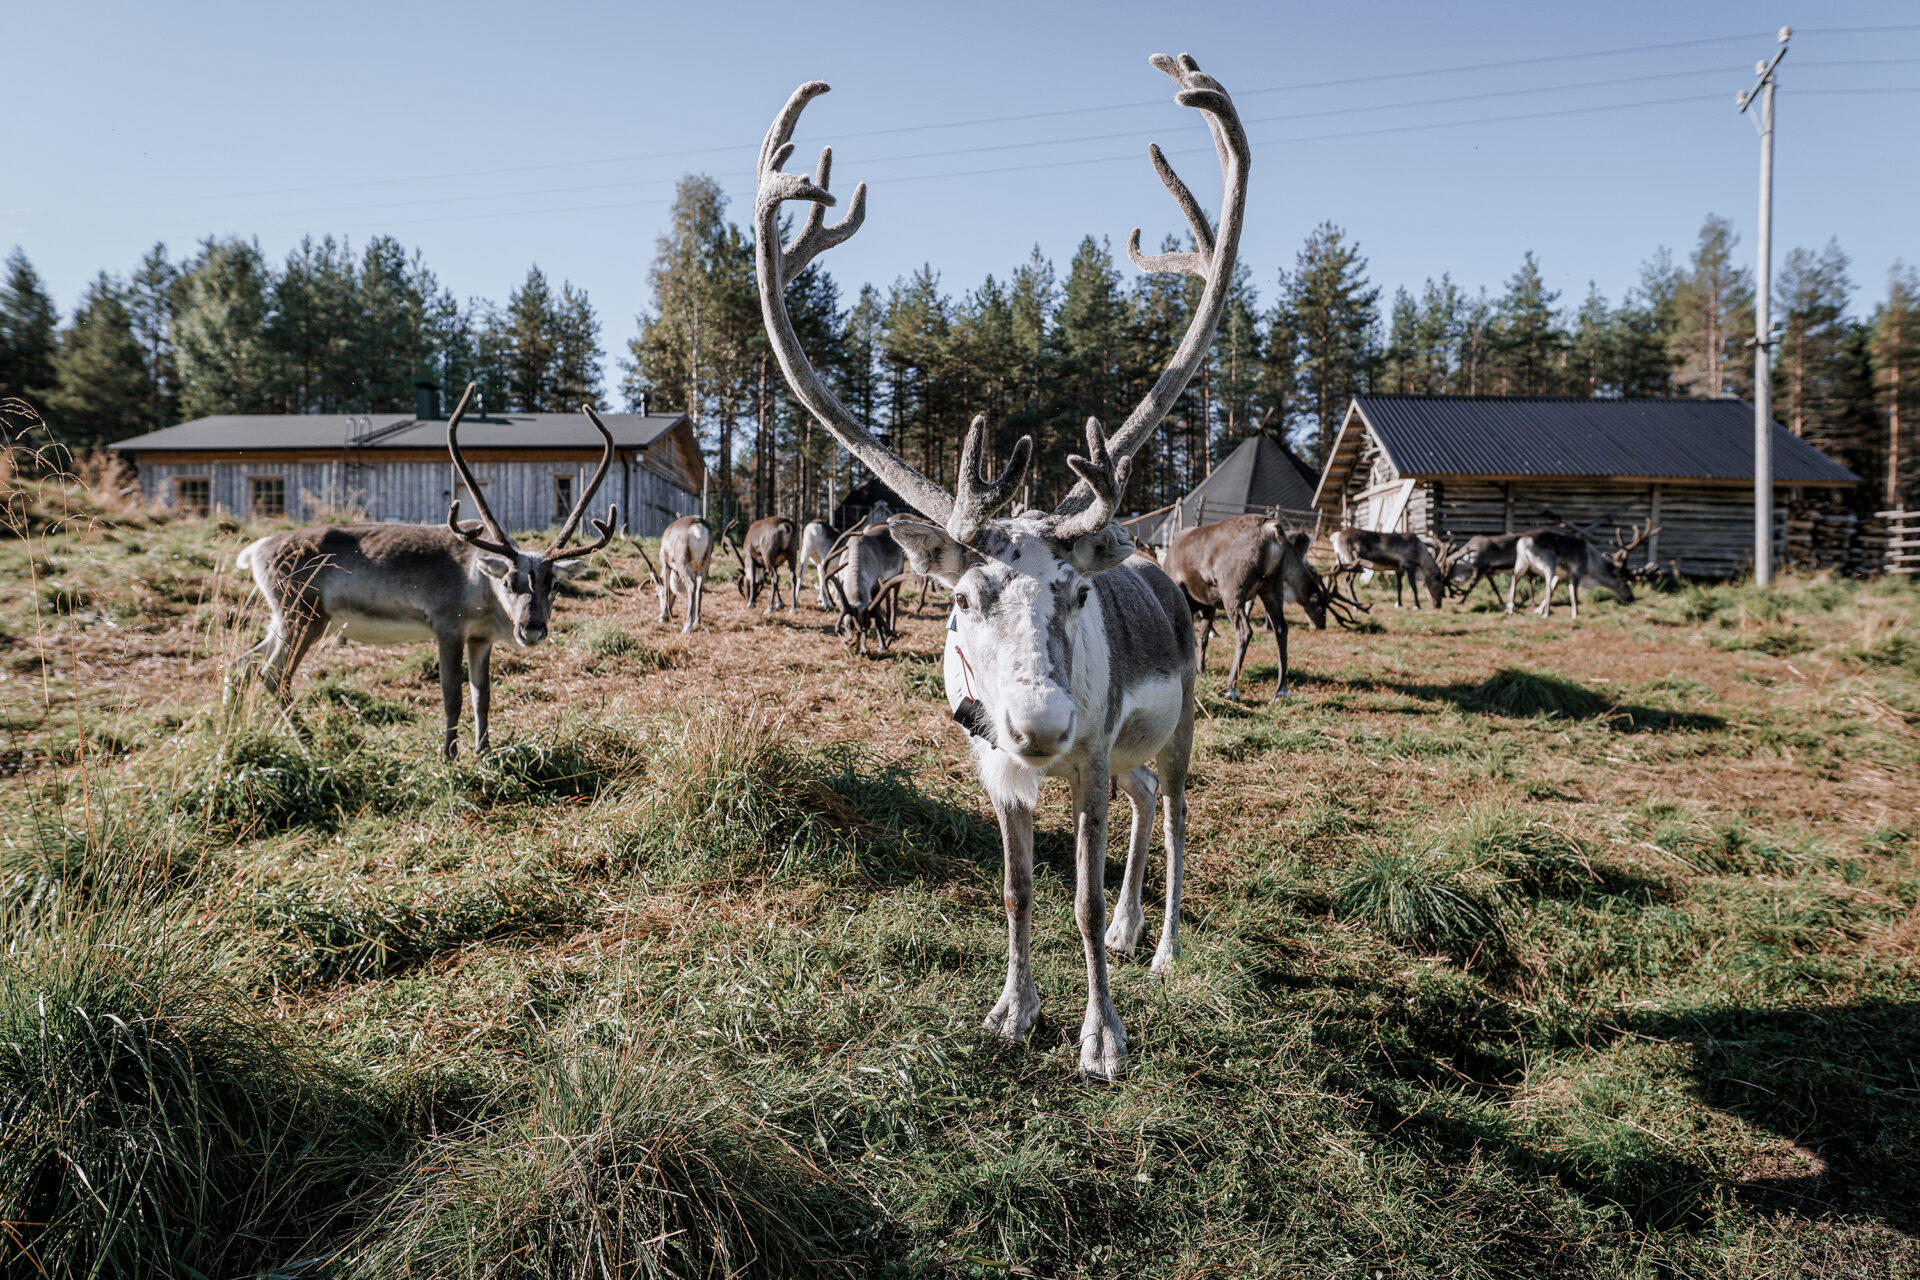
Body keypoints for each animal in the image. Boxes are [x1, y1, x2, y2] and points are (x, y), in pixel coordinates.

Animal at [228, 384, 616, 758]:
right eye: (508, 581)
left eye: (554, 584)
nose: (532, 628)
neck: (482, 588)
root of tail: (255, 549)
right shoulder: (448, 627)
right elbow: (452, 696)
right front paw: (449, 756)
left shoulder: (481, 637)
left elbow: (482, 697)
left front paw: (485, 753)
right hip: (303, 615)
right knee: (272, 673)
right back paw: (310, 747)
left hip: (284, 617)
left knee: (244, 662)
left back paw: (231, 729)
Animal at [755, 51, 1247, 1080]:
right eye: (966, 597)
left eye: (1075, 591)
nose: (1041, 723)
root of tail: (1159, 569)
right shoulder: (996, 771)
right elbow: (1020, 893)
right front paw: (1014, 1010)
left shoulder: (1092, 753)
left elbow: (1080, 899)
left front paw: (1101, 1038)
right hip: (1124, 750)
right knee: (1147, 806)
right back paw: (1136, 930)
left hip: (1178, 721)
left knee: (1179, 809)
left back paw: (1163, 944)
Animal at [1163, 516, 1330, 702]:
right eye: (1320, 608)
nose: (1322, 625)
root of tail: (1272, 529)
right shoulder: (1209, 604)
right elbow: (1202, 638)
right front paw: (1201, 672)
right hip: (1271, 586)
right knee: (1281, 628)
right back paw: (1280, 691)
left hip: (1233, 588)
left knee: (1245, 631)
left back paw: (1231, 688)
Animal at [1506, 523, 1655, 620]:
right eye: (1625, 581)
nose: (1631, 597)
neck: (1591, 565)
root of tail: (1524, 539)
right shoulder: (1576, 573)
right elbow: (1573, 594)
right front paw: (1575, 614)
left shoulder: (1561, 575)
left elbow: (1554, 589)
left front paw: (1537, 610)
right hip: (1548, 564)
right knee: (1546, 585)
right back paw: (1547, 614)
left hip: (1522, 562)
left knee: (1515, 578)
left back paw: (1510, 608)